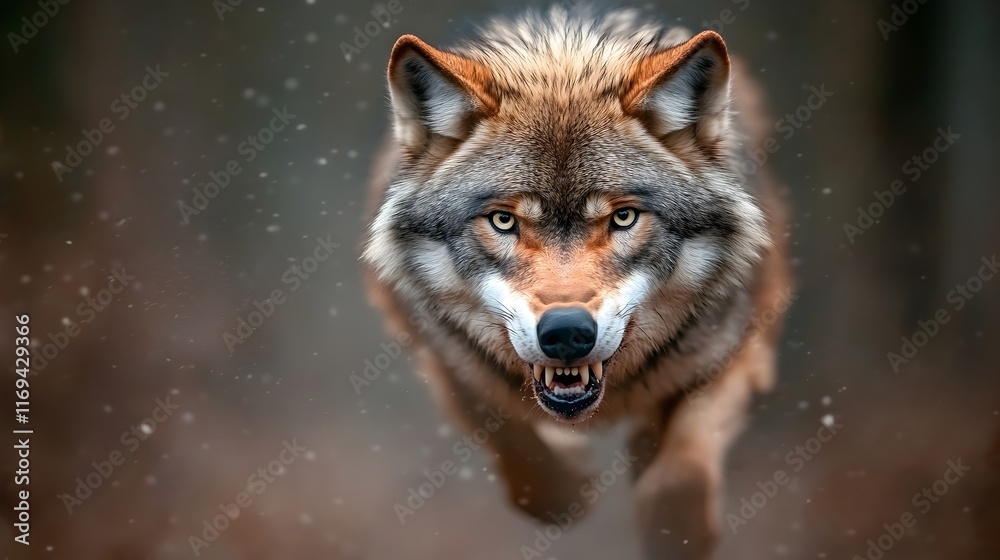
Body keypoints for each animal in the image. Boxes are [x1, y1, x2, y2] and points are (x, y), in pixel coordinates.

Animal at [363, 6, 791, 558]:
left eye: (624, 217)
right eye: (503, 220)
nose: (567, 332)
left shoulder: (740, 347)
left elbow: (680, 477)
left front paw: (676, 533)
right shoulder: (445, 359)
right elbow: (526, 464)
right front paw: (572, 485)